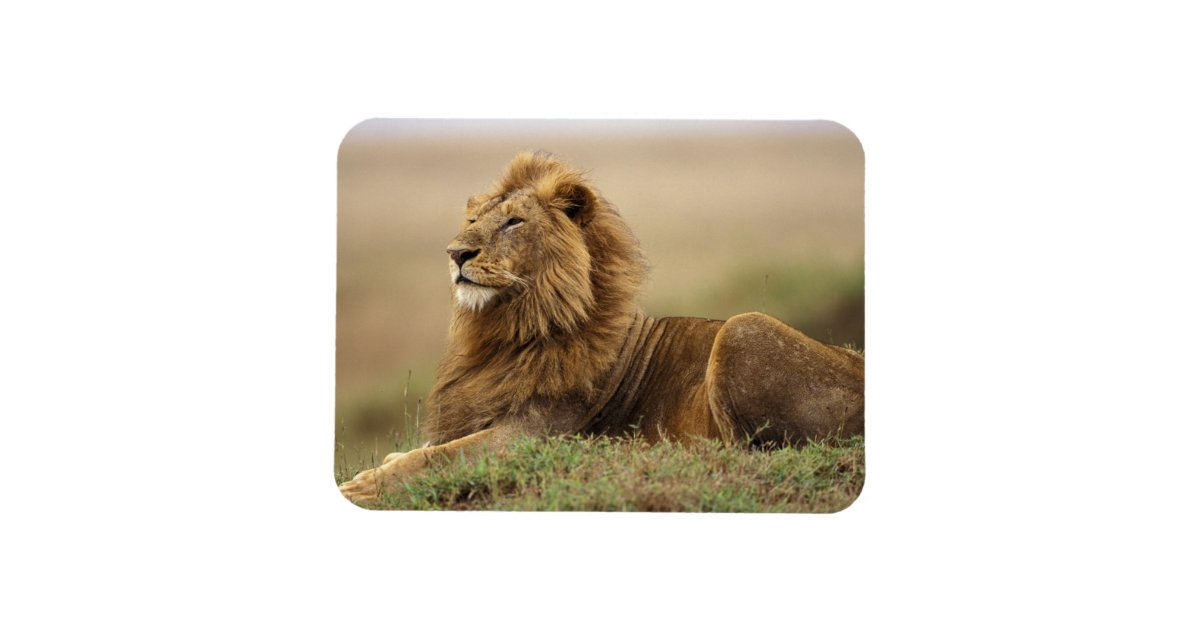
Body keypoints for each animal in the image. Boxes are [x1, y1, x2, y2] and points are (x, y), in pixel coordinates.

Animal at [339, 151, 864, 507]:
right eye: (472, 219)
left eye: (513, 222)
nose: (455, 253)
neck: (507, 331)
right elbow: (424, 448)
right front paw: (382, 465)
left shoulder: (533, 434)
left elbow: (439, 457)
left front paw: (362, 483)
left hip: (743, 328)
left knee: (744, 453)